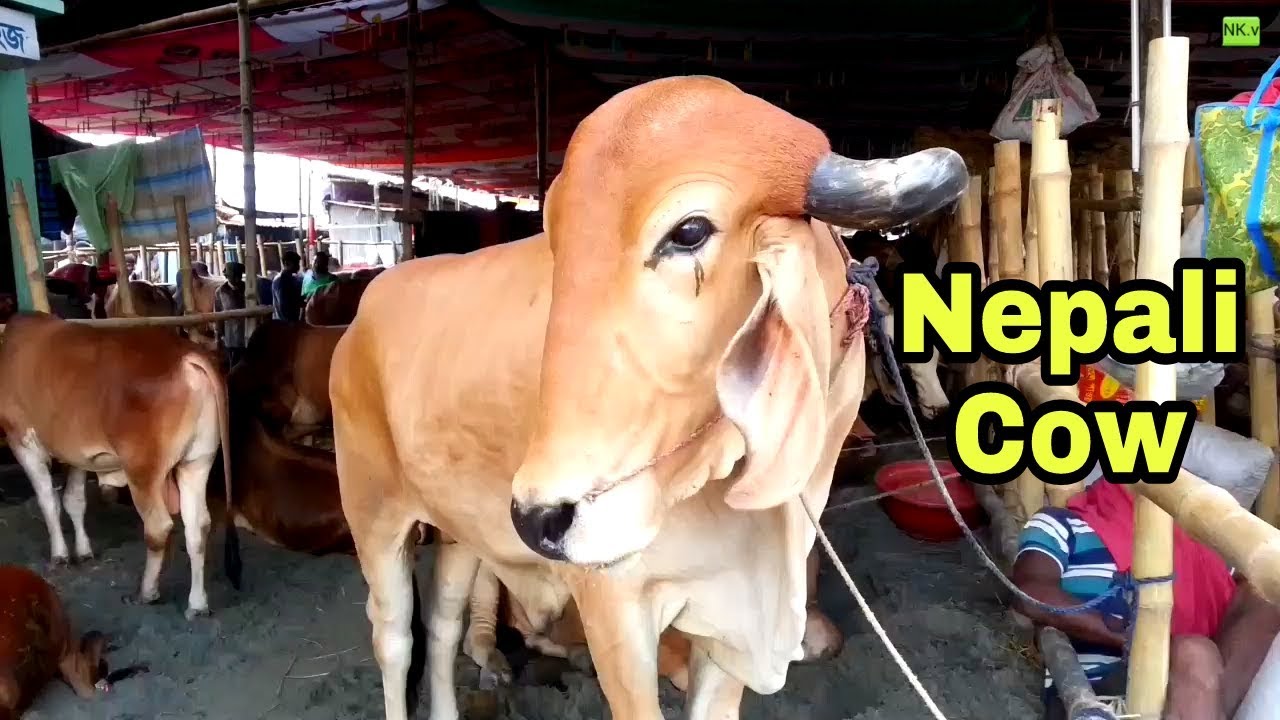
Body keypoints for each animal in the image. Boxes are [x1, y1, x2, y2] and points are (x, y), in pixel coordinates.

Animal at [0, 313, 237, 619]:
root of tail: (187, 356)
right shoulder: (78, 456)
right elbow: (73, 500)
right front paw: (83, 551)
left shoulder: (22, 440)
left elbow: (48, 501)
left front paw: (60, 554)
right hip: (197, 461)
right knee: (198, 526)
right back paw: (197, 604)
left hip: (143, 470)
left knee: (158, 527)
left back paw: (146, 592)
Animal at [329, 75, 966, 720]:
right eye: (557, 243)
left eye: (689, 231)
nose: (538, 521)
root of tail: (367, 305)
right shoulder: (614, 606)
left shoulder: (728, 624)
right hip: (373, 513)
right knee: (395, 639)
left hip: (460, 528)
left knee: (443, 623)